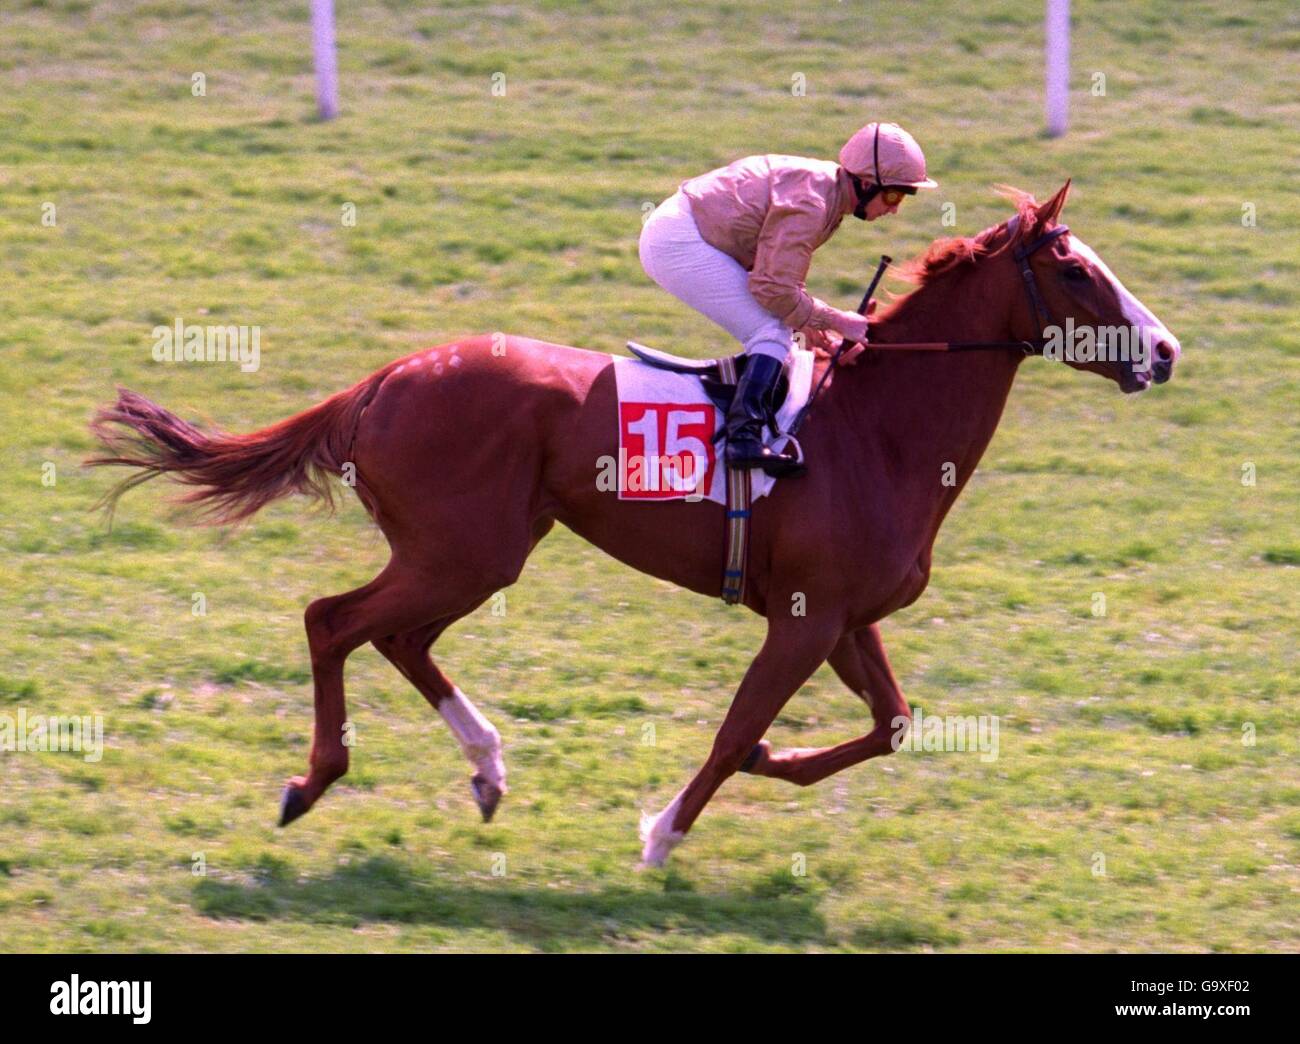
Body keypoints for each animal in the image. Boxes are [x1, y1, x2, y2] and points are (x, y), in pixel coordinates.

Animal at [88, 181, 1181, 867]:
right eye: (1076, 272)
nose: (1165, 351)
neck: (881, 429)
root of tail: (387, 378)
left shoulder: (842, 616)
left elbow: (890, 723)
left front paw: (773, 765)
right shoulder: (803, 618)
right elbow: (737, 730)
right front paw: (661, 835)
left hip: (478, 554)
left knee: (394, 637)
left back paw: (486, 768)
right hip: (463, 552)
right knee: (334, 621)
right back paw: (315, 782)